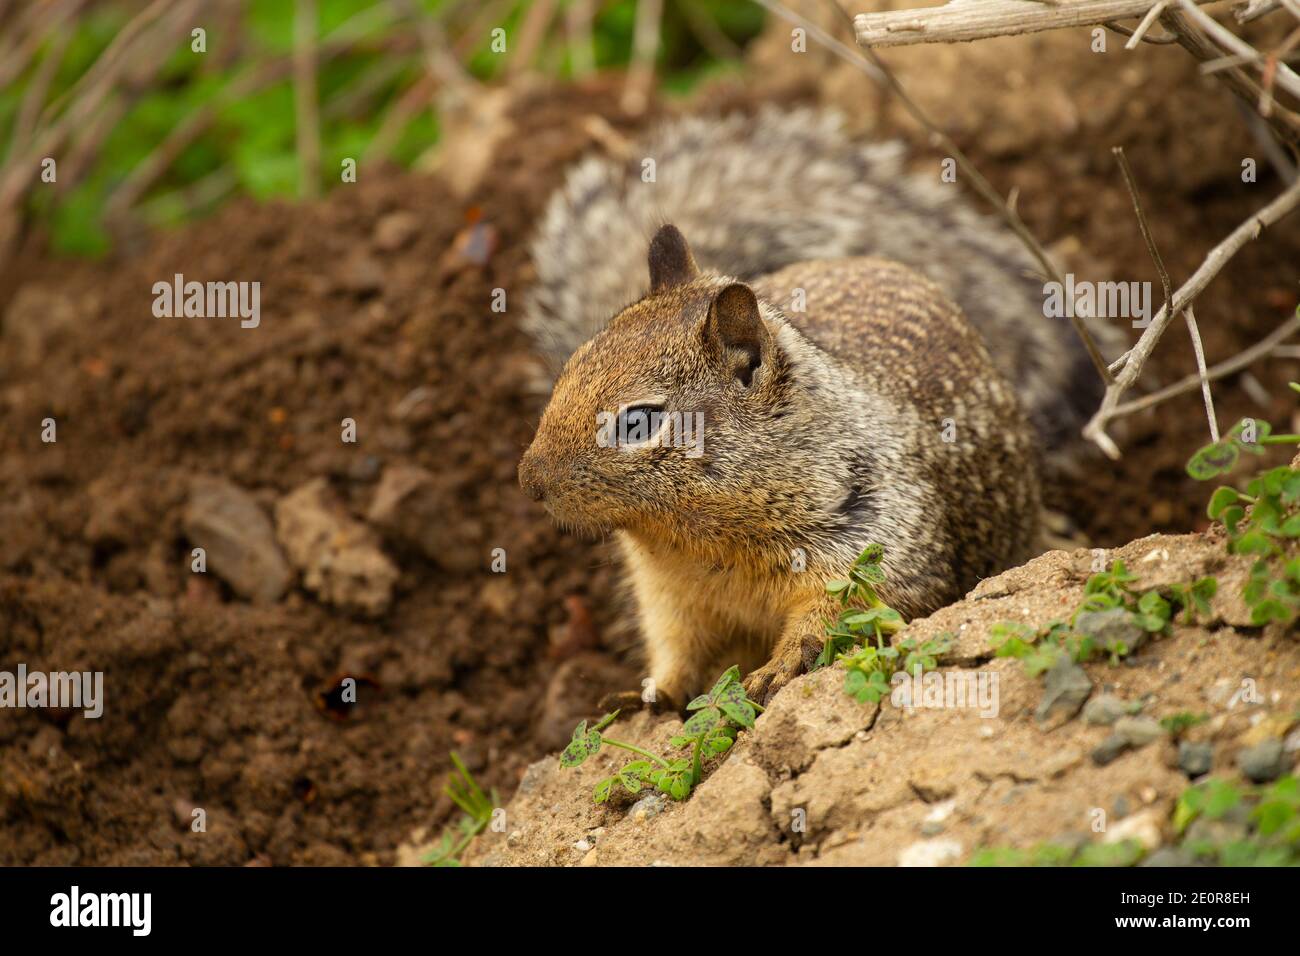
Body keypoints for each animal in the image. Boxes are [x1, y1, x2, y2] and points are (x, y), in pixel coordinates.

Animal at [517, 106, 1120, 706]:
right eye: (571, 366)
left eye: (639, 421)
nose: (529, 482)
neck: (696, 544)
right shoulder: (665, 594)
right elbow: (677, 648)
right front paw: (650, 693)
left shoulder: (877, 549)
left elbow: (837, 619)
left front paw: (779, 668)